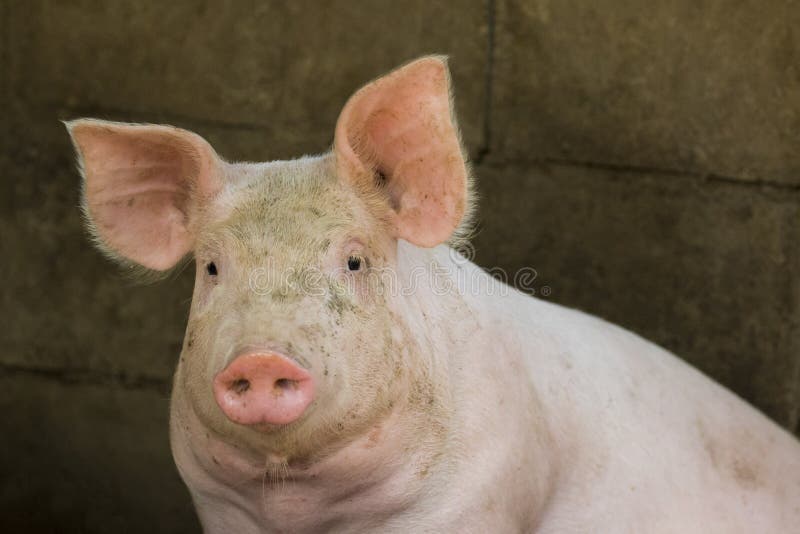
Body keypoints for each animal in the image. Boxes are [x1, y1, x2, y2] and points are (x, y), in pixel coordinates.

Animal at [66, 56, 800, 533]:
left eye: (354, 260)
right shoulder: (217, 504)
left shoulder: (480, 492)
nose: (262, 358)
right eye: (213, 269)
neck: (301, 506)